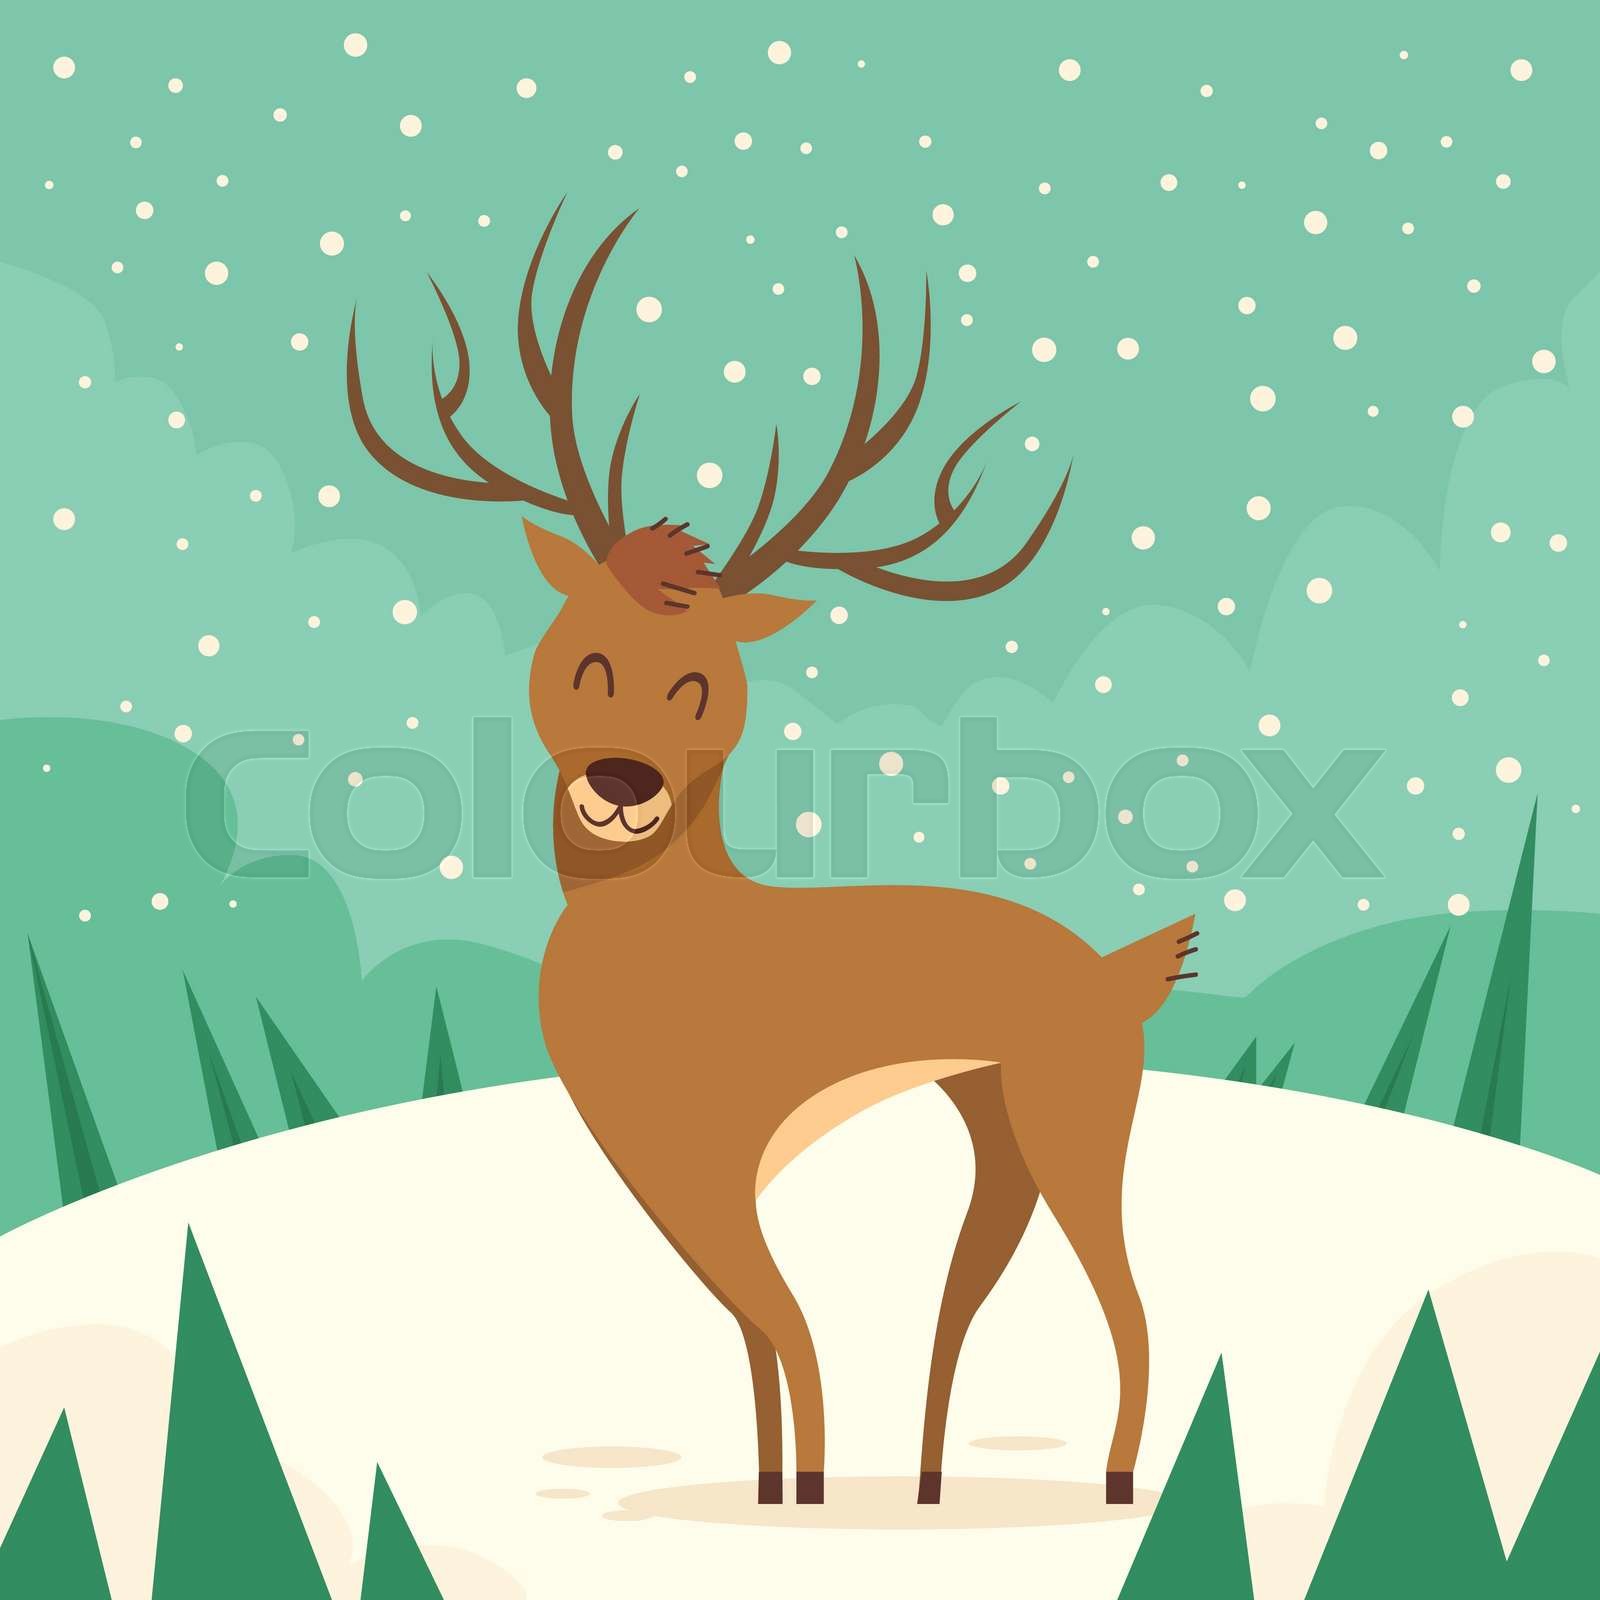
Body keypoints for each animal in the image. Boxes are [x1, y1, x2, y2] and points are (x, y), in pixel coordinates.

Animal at [346, 202, 1196, 1509]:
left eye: (701, 686)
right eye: (586, 658)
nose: (623, 784)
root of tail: (1121, 967)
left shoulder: (703, 1168)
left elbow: (786, 1324)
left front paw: (804, 1492)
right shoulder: (691, 1177)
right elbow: (755, 1337)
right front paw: (769, 1490)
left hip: (1073, 1122)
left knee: (1129, 1301)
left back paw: (1105, 1486)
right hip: (994, 1132)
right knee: (965, 1295)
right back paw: (927, 1486)